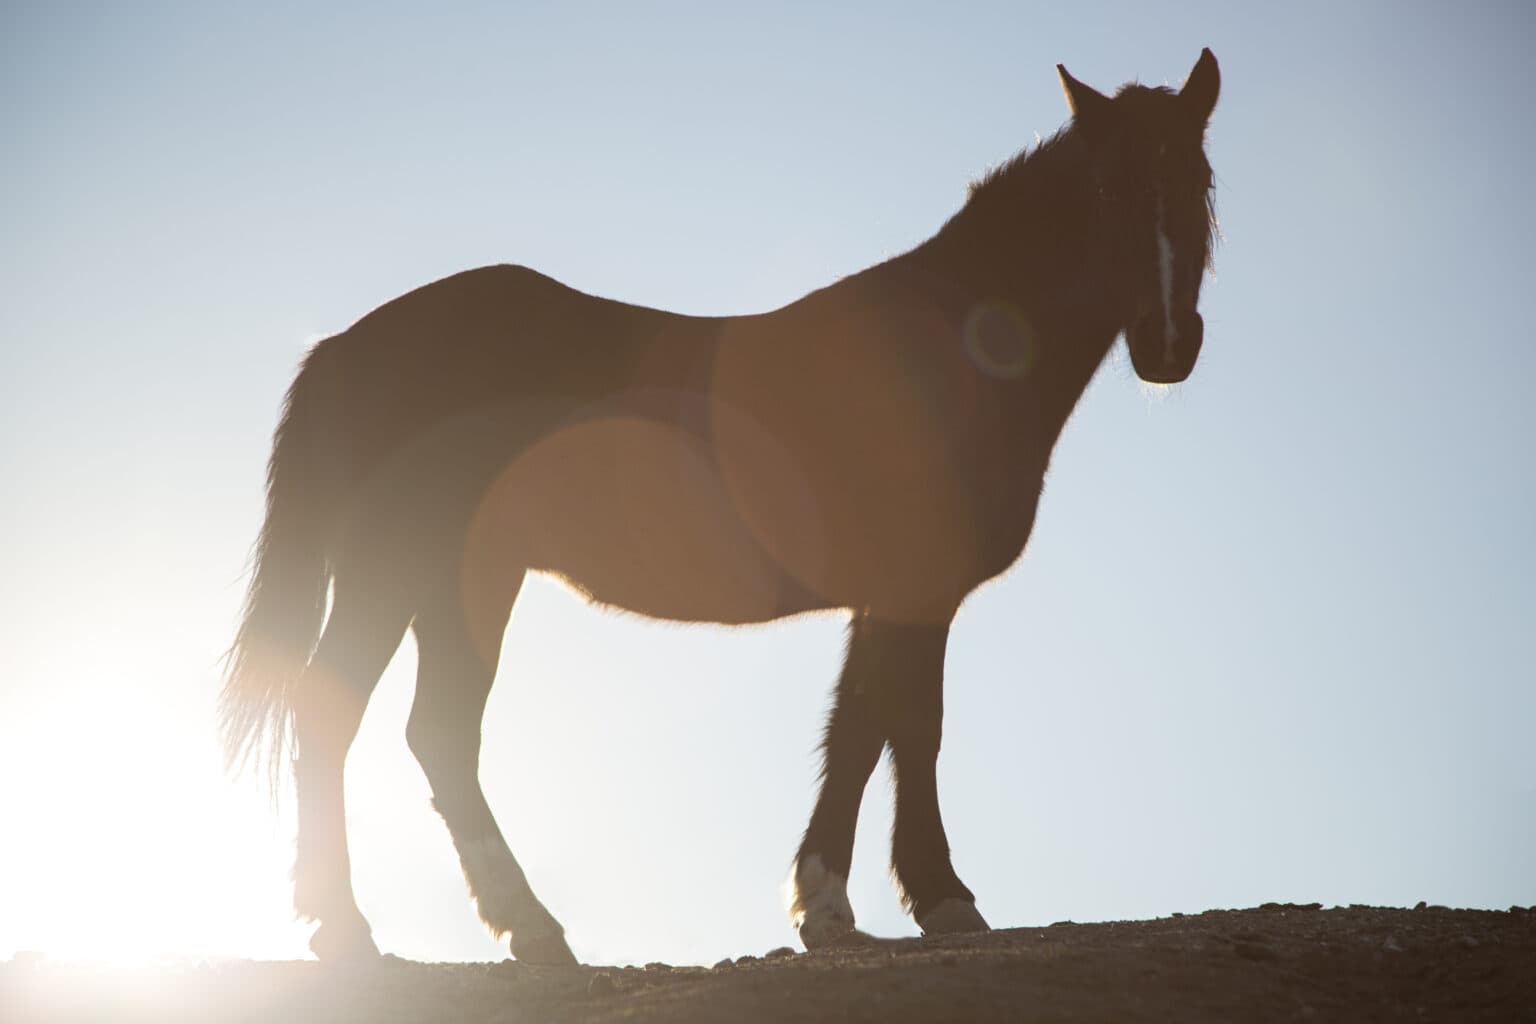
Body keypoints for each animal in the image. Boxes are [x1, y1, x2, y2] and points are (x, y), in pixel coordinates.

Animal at [222, 49, 1221, 965]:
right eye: (1107, 186)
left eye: (1198, 182)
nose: (1170, 343)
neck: (945, 351)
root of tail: (347, 346)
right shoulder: (916, 594)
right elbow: (906, 730)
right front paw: (930, 900)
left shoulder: (885, 599)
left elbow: (859, 730)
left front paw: (833, 904)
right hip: (394, 572)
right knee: (337, 714)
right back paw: (350, 927)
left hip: (466, 580)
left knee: (438, 733)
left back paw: (525, 928)